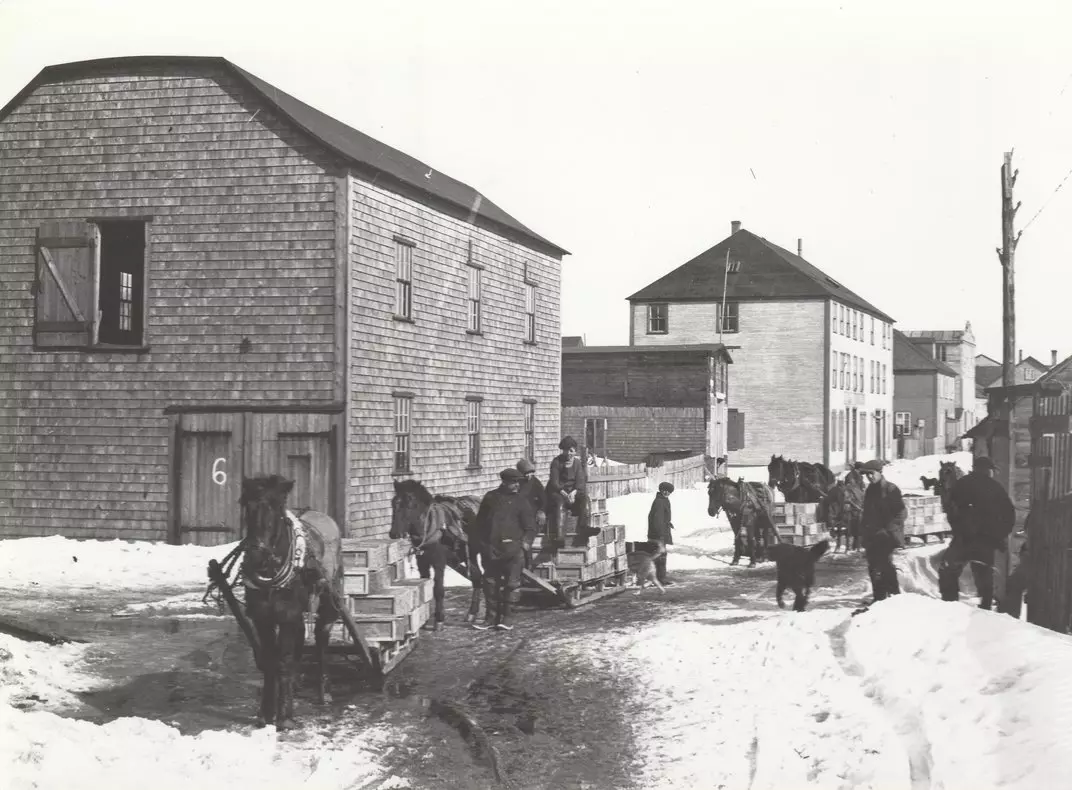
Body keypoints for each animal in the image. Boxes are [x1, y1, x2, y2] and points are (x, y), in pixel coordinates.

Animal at [242, 471, 343, 728]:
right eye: (245, 505)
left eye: (276, 507)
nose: (256, 553)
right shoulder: (263, 617)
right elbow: (270, 660)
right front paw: (265, 713)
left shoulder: (286, 615)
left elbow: (283, 661)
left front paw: (284, 716)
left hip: (329, 598)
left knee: (321, 637)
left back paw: (324, 691)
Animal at [388, 480, 484, 630]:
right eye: (394, 503)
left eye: (410, 505)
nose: (394, 533)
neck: (429, 527)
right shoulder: (422, 561)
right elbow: (424, 587)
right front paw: (424, 618)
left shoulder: (439, 561)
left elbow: (438, 589)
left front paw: (439, 620)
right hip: (471, 554)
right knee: (477, 577)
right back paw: (472, 613)